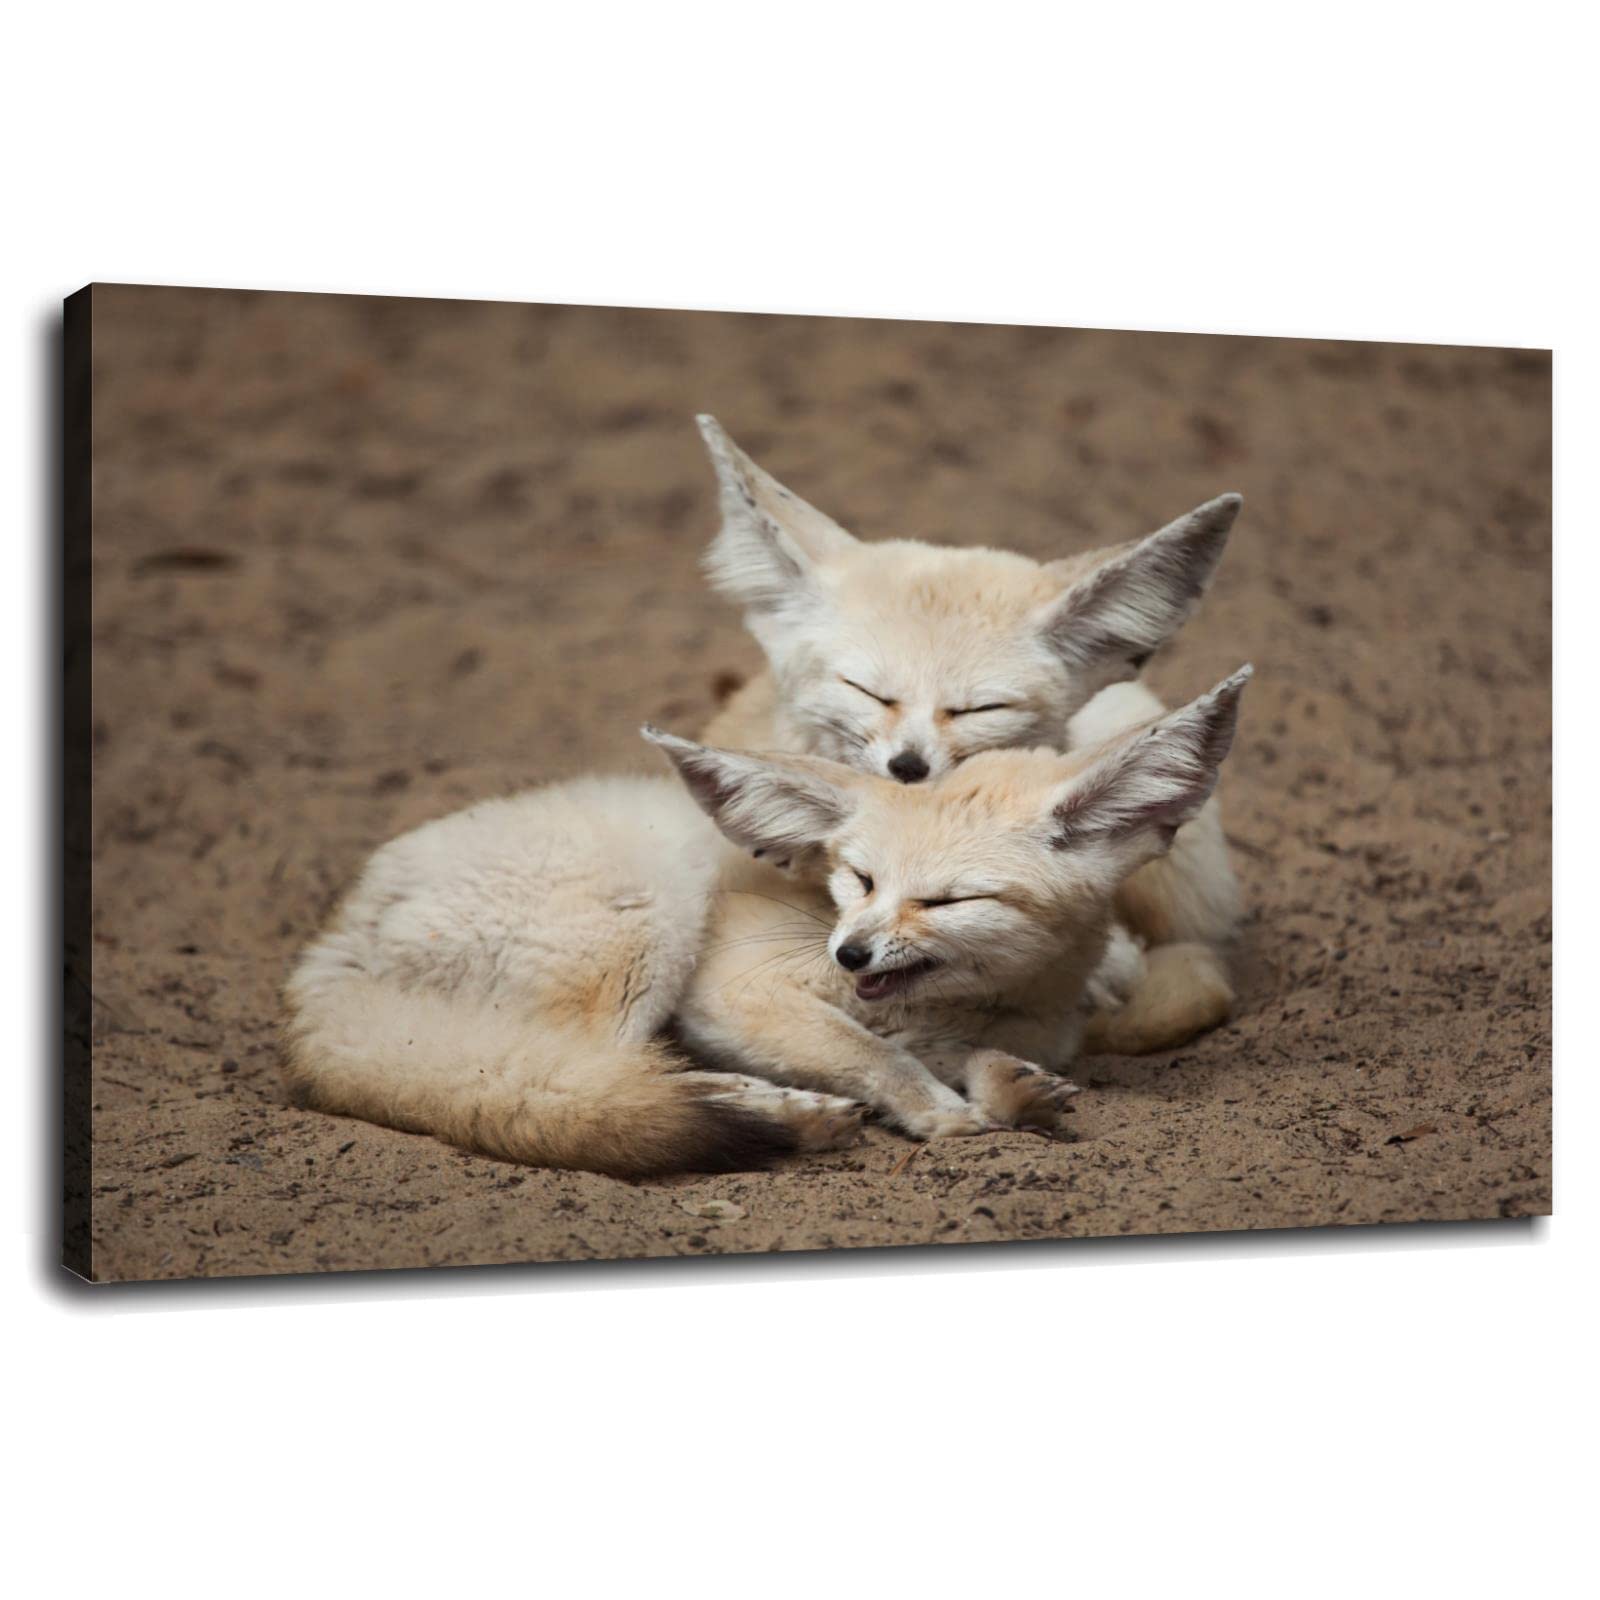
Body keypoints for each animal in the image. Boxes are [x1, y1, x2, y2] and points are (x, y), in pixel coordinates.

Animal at [282, 670, 1251, 1175]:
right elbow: (873, 1055)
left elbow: (951, 1055)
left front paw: (1006, 1088)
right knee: (589, 1077)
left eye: (946, 901)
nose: (850, 951)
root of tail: (326, 951)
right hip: (652, 908)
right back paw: (780, 1115)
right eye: (859, 879)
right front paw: (943, 1116)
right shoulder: (734, 993)